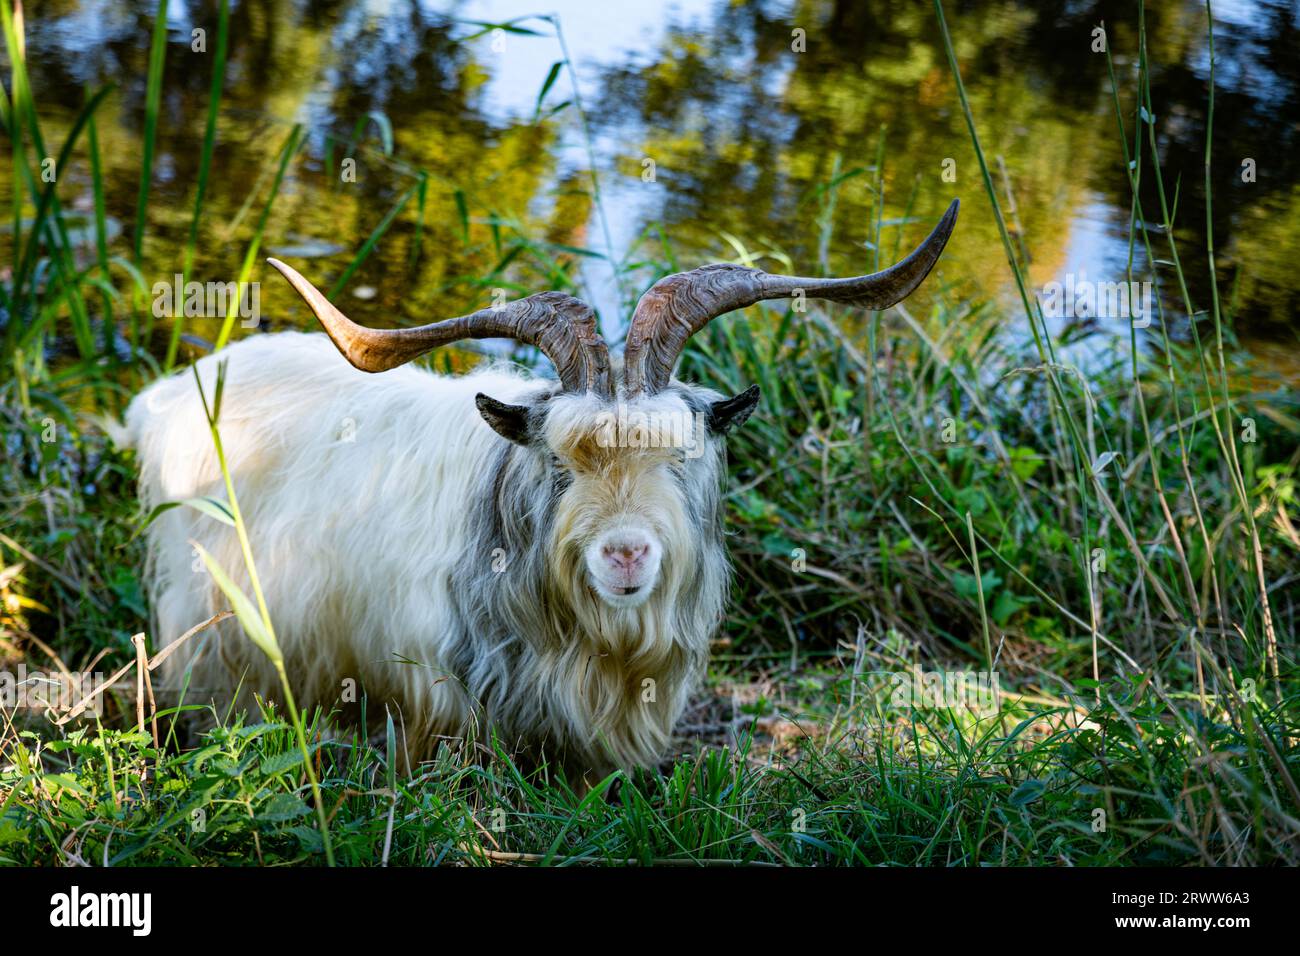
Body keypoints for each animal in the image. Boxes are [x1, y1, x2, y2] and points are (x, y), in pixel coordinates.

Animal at [124, 200, 958, 779]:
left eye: (680, 456)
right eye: (561, 462)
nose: (625, 555)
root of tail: (173, 390)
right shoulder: (439, 703)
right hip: (215, 635)